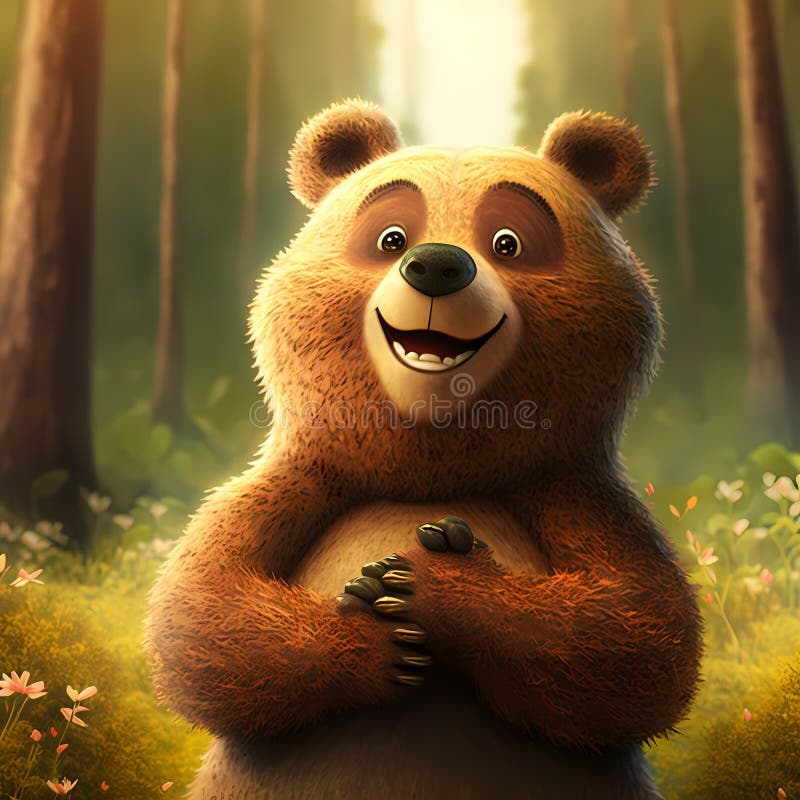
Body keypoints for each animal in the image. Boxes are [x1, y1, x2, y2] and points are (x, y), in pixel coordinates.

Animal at [146, 99, 702, 800]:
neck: (429, 461)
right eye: (390, 236)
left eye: (509, 242)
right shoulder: (306, 476)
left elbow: (636, 639)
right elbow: (200, 618)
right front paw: (369, 633)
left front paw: (436, 580)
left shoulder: (567, 486)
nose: (437, 264)